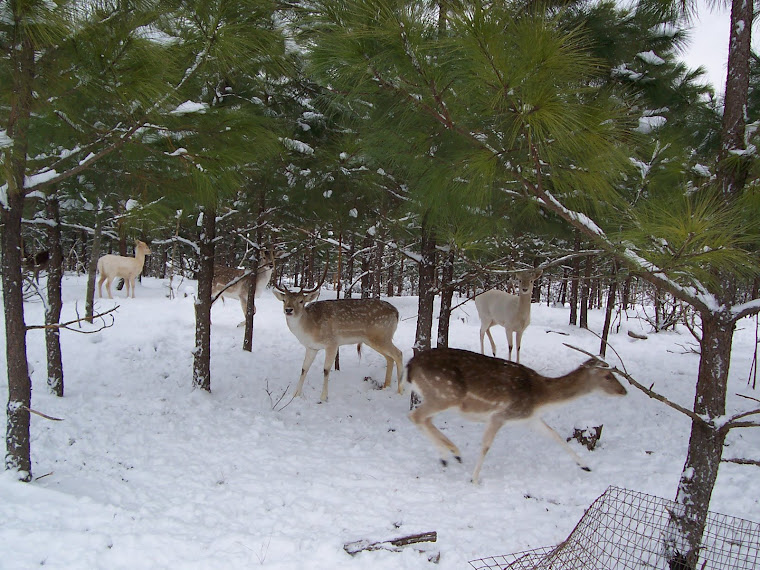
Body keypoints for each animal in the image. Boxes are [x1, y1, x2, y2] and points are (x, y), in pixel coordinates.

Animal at [272, 267, 405, 402]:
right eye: (284, 300)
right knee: (389, 357)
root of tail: (396, 312)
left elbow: (326, 370)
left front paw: (323, 397)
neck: (309, 328)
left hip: (381, 335)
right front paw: (295, 395)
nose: (288, 310)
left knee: (398, 353)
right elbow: (304, 369)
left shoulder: (332, 343)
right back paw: (385, 386)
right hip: (375, 339)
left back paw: (400, 391)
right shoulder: (311, 347)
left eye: (301, 301)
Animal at [406, 347, 627, 483]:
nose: (624, 391)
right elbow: (486, 445)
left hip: (438, 397)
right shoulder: (501, 415)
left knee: (425, 419)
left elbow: (555, 434)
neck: (540, 398)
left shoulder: (530, 419)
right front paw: (474, 479)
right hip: (445, 395)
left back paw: (452, 453)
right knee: (415, 416)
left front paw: (585, 465)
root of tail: (410, 367)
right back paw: (449, 454)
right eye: (608, 376)